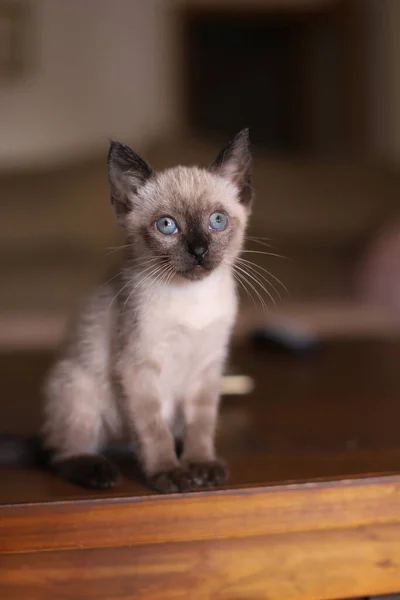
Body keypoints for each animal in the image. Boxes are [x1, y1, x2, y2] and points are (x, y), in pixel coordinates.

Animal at [41, 130, 253, 492]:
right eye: (167, 225)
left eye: (217, 221)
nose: (199, 251)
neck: (192, 297)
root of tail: (119, 444)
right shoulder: (138, 368)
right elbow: (155, 430)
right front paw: (170, 473)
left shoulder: (207, 370)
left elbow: (201, 427)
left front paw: (201, 466)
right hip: (77, 385)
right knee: (63, 452)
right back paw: (100, 471)